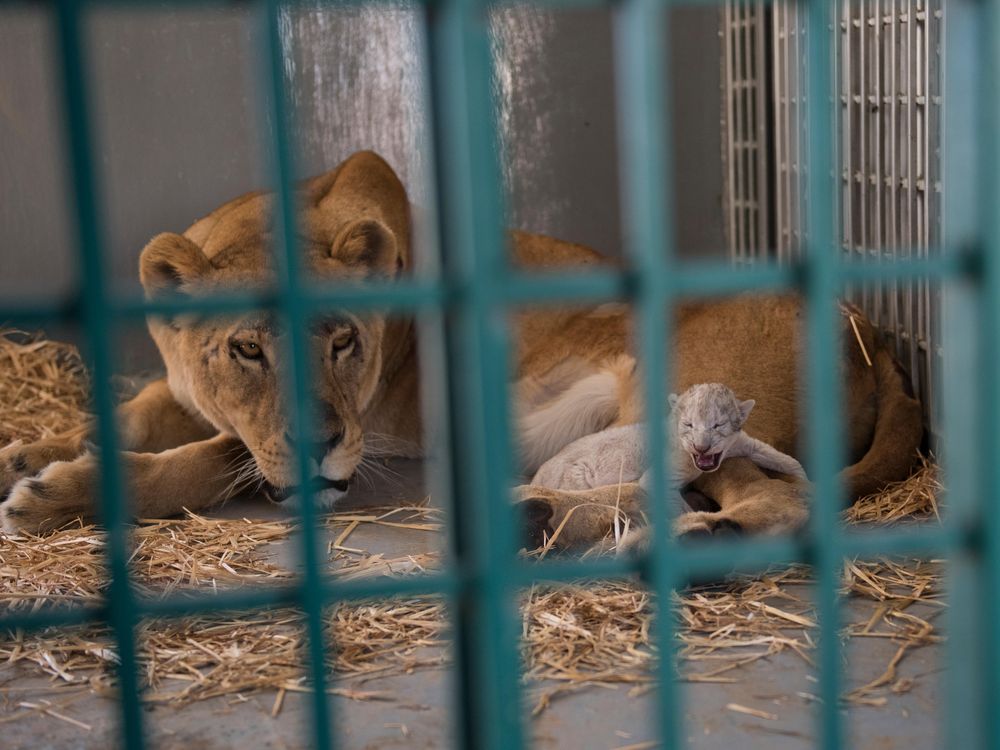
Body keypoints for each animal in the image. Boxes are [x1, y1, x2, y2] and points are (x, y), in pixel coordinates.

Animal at [0, 151, 923, 546]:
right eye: (246, 351)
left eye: (343, 341)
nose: (321, 443)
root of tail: (869, 327)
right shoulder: (184, 393)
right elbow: (129, 415)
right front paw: (30, 450)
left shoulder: (374, 442)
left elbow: (212, 457)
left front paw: (53, 495)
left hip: (697, 410)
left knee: (772, 502)